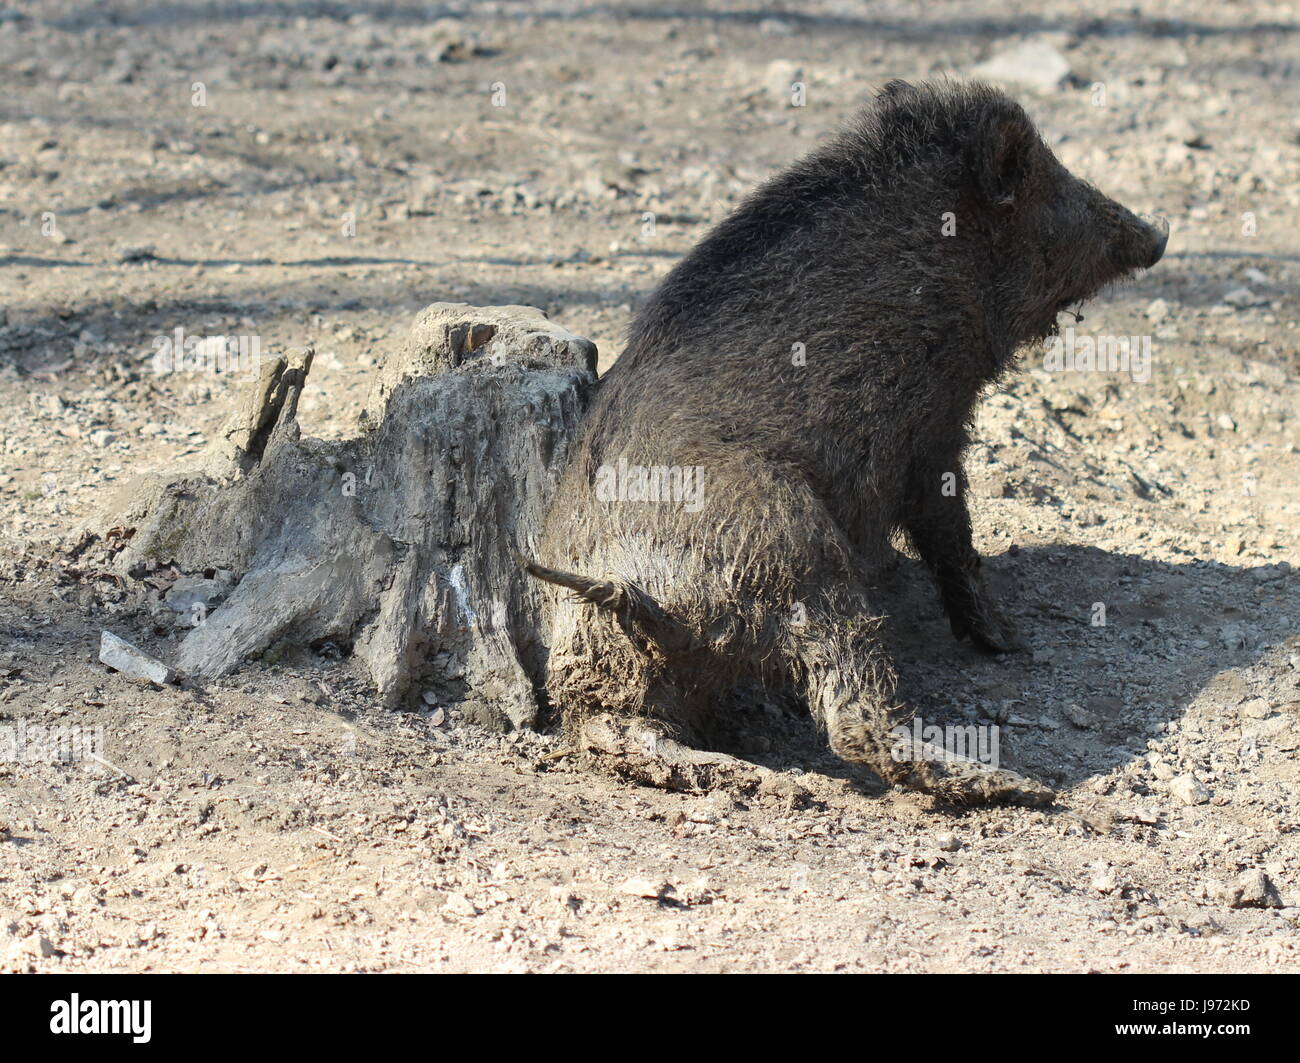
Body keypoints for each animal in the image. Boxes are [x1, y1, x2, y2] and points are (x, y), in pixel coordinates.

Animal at [524, 80, 1167, 804]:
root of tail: (628, 582)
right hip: (794, 547)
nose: (1158, 234)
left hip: (603, 660)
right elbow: (950, 529)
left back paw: (748, 776)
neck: (945, 258)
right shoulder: (933, 422)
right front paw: (1011, 641)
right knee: (854, 720)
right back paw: (1020, 786)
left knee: (617, 731)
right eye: (1053, 185)